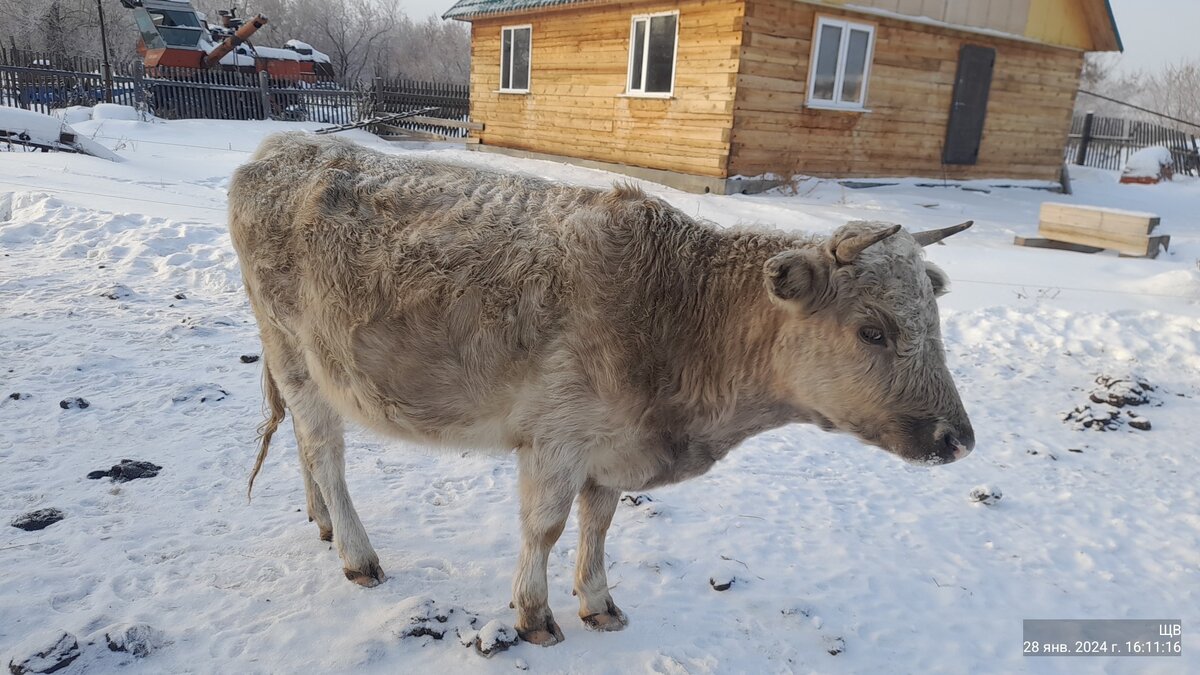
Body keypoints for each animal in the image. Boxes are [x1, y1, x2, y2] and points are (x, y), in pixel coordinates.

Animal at [226, 130, 974, 638]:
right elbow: (547, 526)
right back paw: (357, 553)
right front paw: (534, 614)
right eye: (873, 331)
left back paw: (325, 523)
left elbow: (600, 522)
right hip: (296, 354)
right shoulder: (557, 438)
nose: (959, 438)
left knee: (306, 446)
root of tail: (289, 143)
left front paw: (598, 602)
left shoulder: (613, 445)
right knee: (325, 451)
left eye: (934, 319)